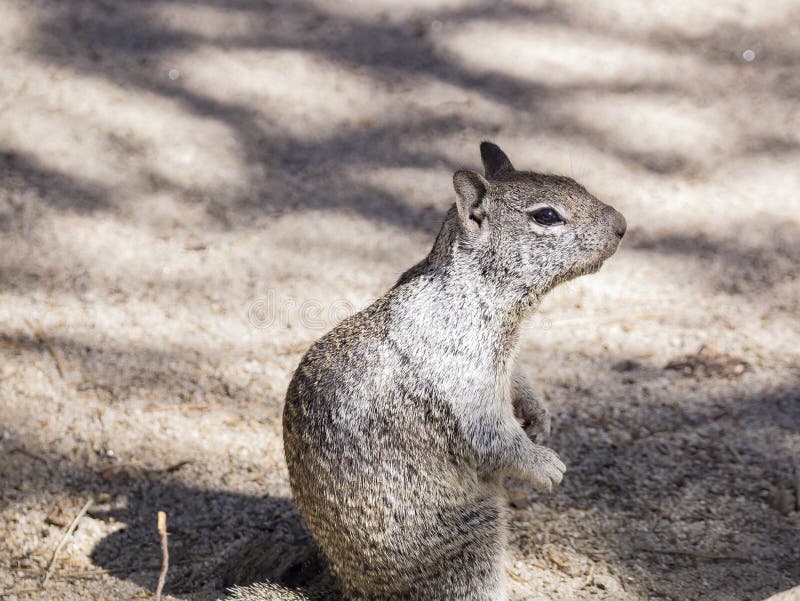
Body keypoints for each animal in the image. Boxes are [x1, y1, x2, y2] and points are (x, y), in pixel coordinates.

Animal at [225, 142, 626, 601]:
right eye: (546, 216)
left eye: (574, 182)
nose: (622, 225)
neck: (476, 295)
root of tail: (354, 590)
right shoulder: (465, 384)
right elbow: (494, 439)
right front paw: (545, 465)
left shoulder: (506, 367)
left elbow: (520, 382)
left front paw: (540, 419)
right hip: (473, 545)